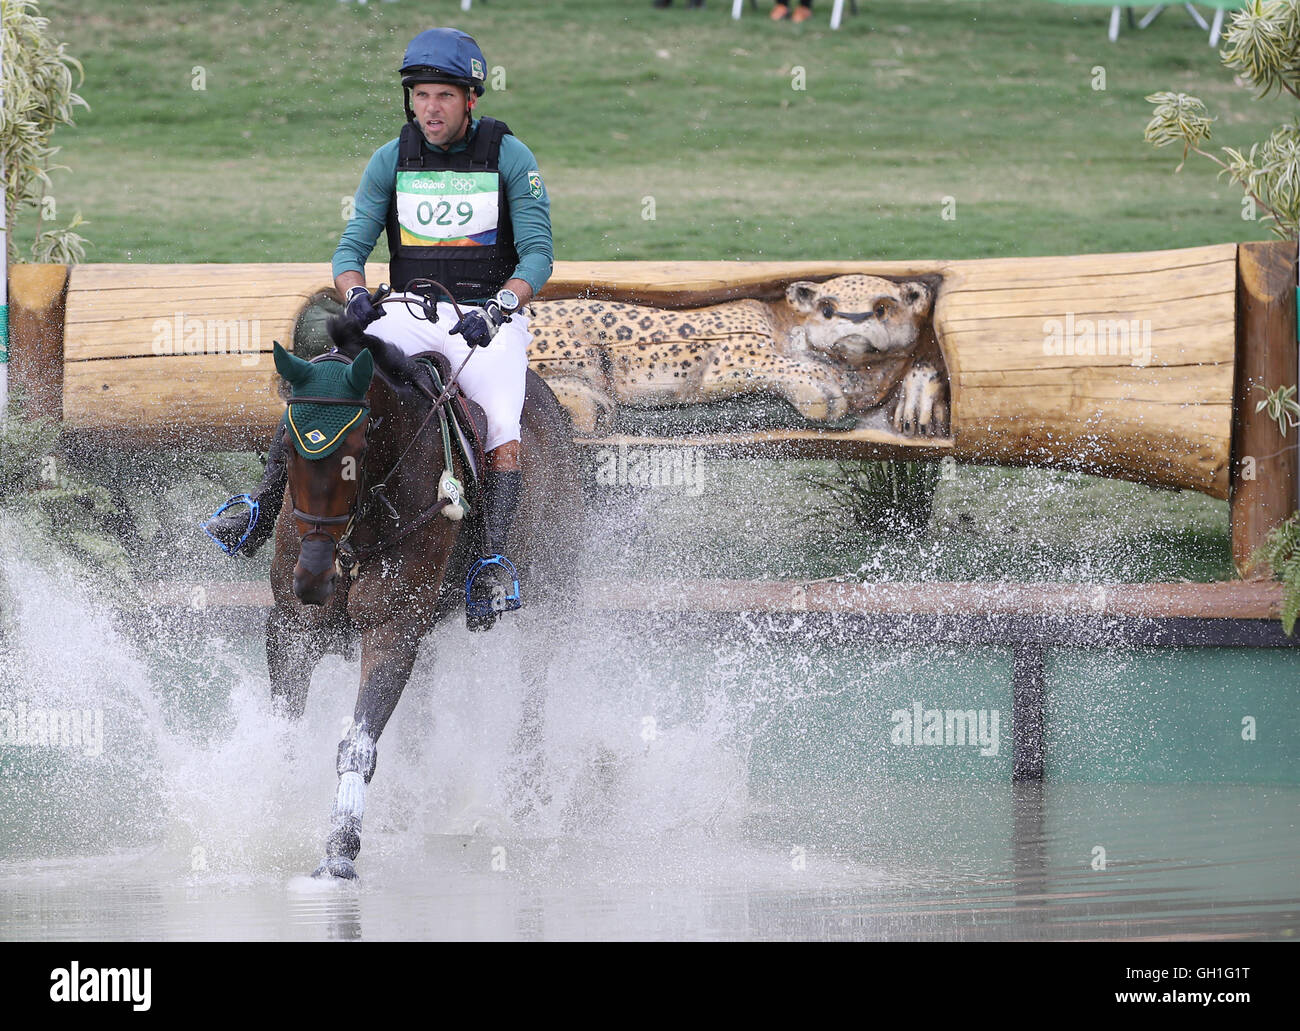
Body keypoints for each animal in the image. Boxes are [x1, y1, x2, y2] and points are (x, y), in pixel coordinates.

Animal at [263, 316, 580, 879]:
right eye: (289, 442)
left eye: (360, 445)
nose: (313, 578)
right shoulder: (291, 628)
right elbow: (283, 732)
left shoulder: (394, 628)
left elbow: (358, 743)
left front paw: (339, 849)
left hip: (553, 590)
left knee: (534, 686)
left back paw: (525, 790)